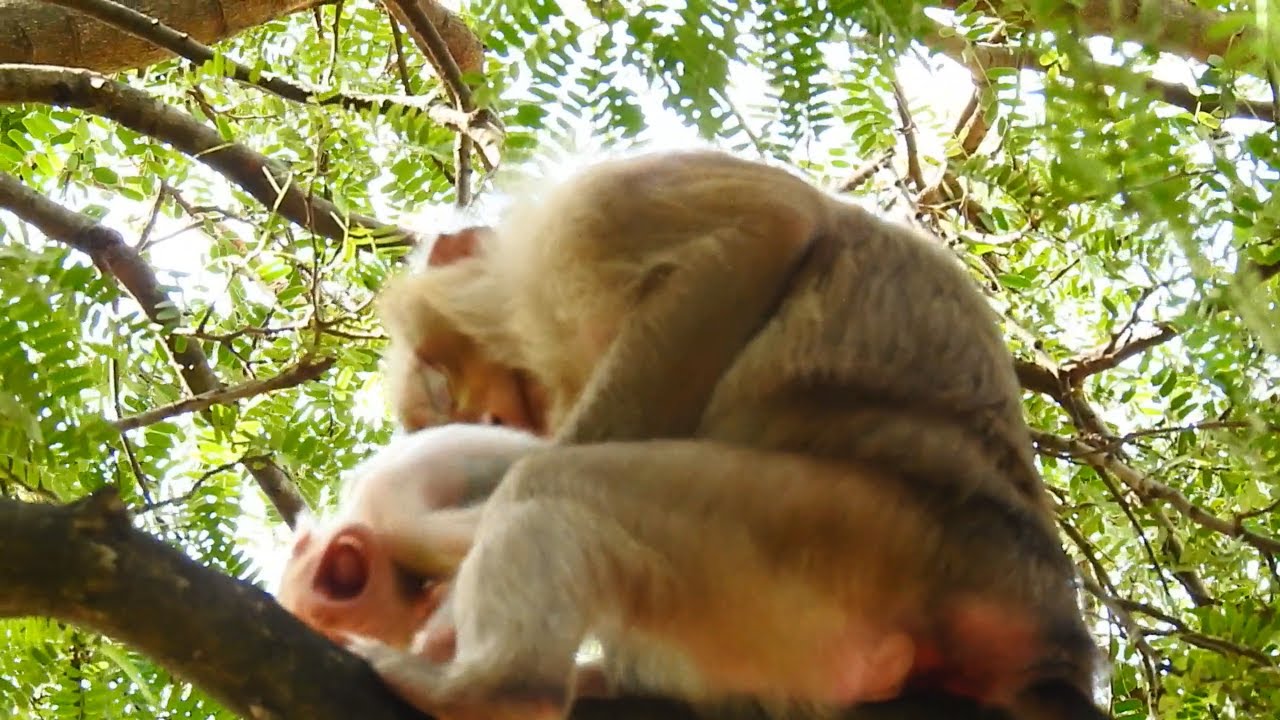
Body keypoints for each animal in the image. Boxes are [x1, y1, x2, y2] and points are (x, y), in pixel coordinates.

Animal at [359, 150, 1110, 720]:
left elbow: (769, 226)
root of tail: (1050, 629)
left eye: (439, 380)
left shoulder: (577, 226)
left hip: (870, 541)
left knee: (557, 485)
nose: (490, 422)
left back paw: (497, 689)